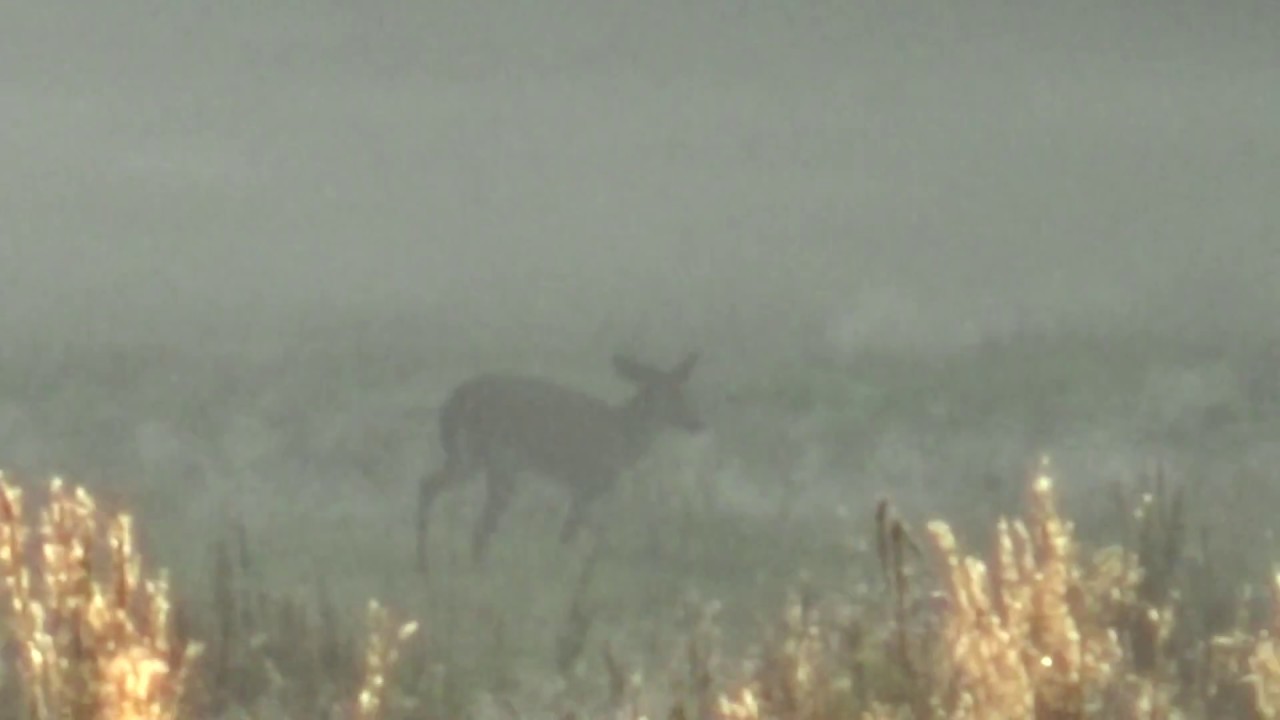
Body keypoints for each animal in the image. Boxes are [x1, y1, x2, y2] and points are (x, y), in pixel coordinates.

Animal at [415, 352, 703, 573]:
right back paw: (473, 571)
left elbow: (578, 532)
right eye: (671, 397)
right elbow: (577, 533)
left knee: (428, 485)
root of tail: (453, 401)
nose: (696, 423)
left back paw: (424, 564)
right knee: (481, 525)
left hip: (469, 458)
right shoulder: (586, 483)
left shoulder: (581, 488)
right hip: (499, 459)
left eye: (684, 393)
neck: (622, 439)